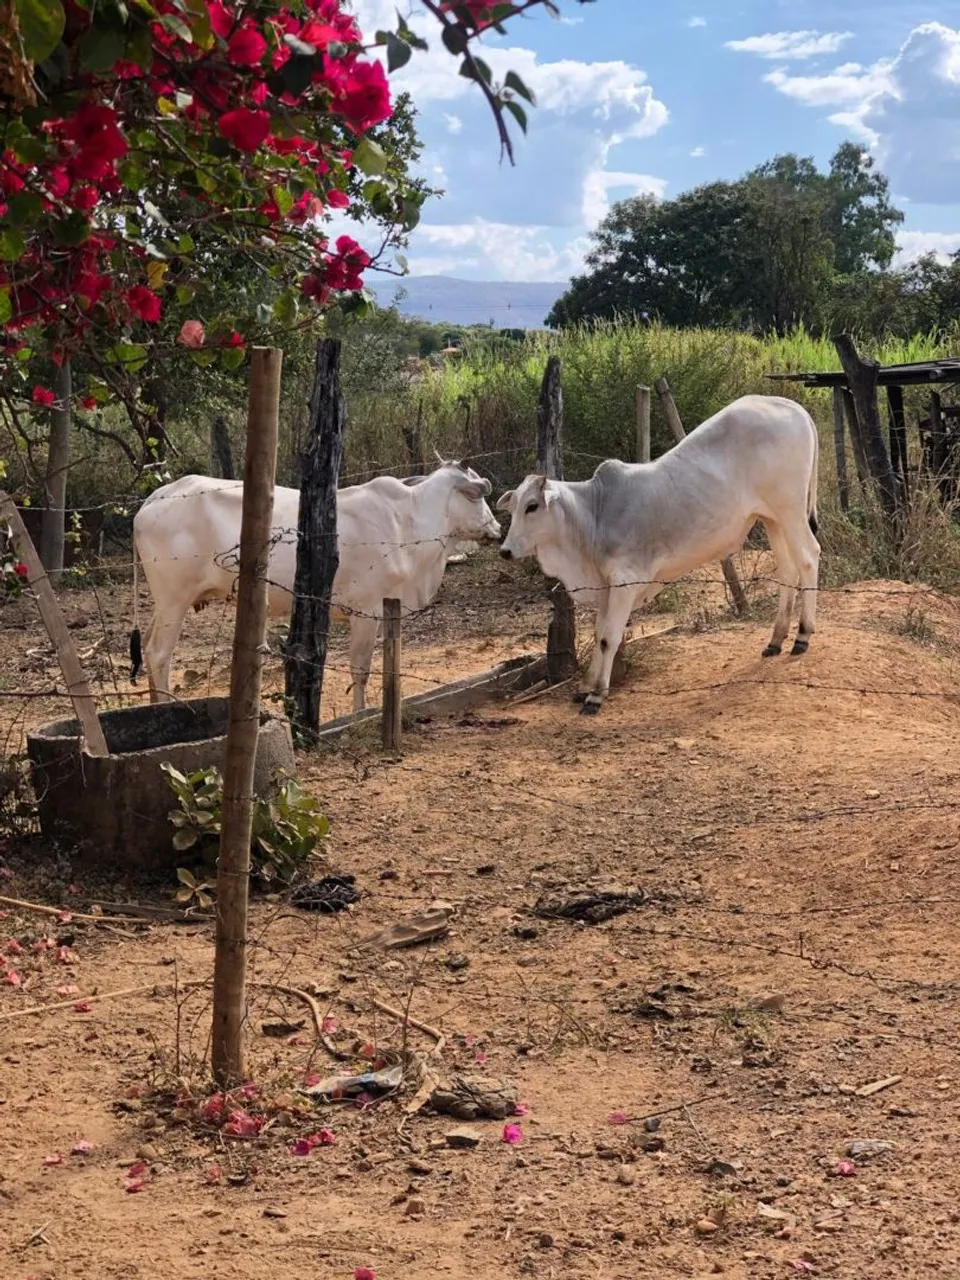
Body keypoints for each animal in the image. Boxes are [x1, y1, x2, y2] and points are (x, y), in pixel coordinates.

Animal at [131, 459, 501, 708]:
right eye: (476, 496)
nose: (497, 528)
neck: (408, 522)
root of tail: (152, 501)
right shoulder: (365, 612)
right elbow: (360, 670)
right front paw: (359, 714)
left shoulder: (389, 610)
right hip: (174, 599)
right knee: (159, 653)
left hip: (164, 603)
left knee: (147, 647)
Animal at [497, 394, 820, 715]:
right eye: (512, 508)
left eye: (533, 506)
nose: (505, 550)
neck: (594, 513)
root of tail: (792, 406)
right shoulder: (605, 586)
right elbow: (600, 632)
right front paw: (586, 686)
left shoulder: (625, 582)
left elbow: (608, 637)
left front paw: (597, 695)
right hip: (771, 518)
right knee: (787, 570)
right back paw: (776, 640)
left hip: (790, 510)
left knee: (808, 557)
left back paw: (802, 636)